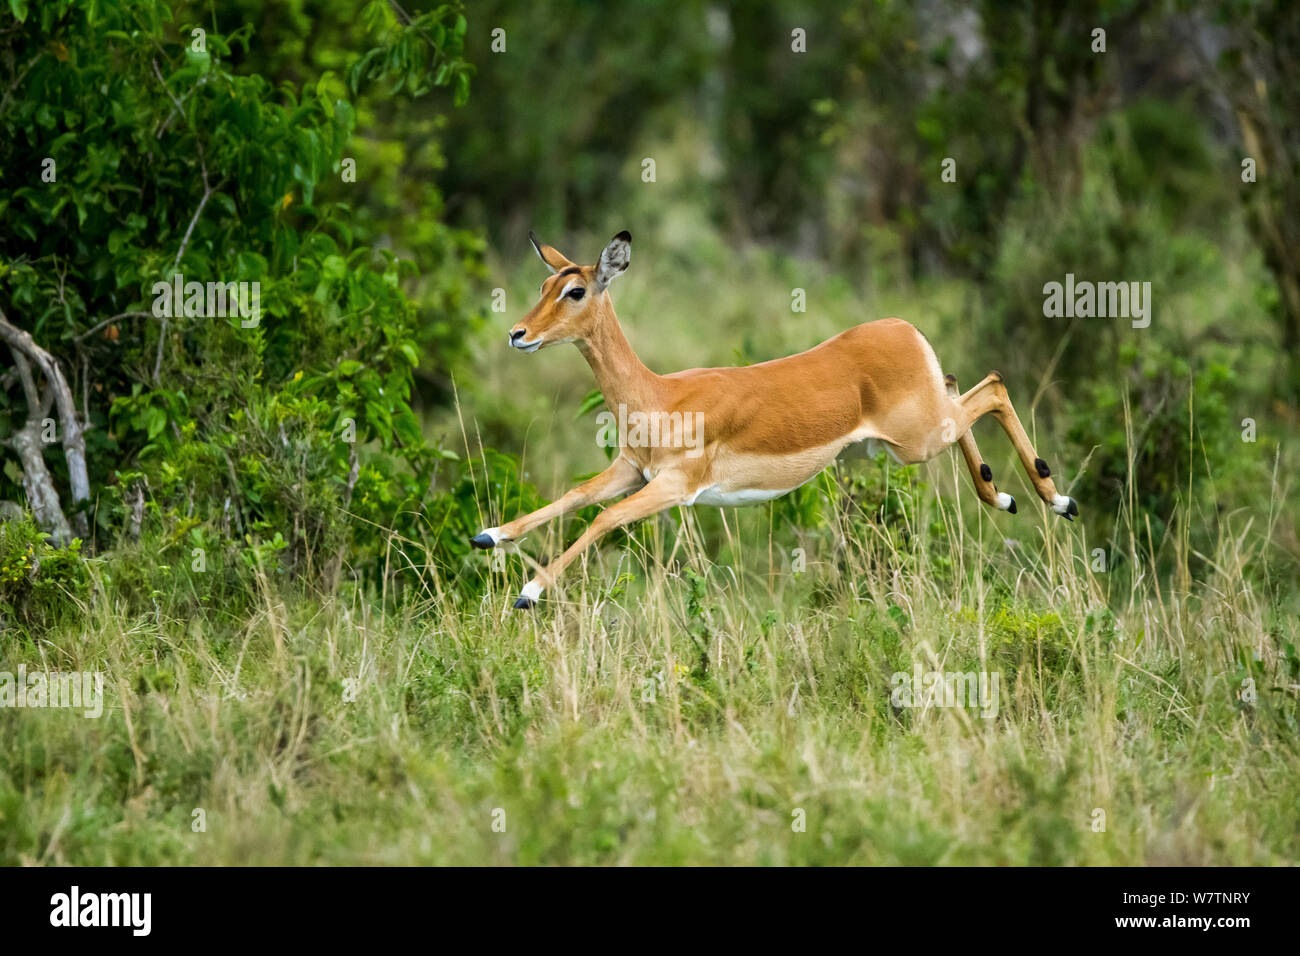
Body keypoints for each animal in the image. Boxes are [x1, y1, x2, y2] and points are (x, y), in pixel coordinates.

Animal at [471, 230, 1078, 609]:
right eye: (544, 285)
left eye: (575, 290)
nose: (517, 334)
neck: (660, 396)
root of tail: (905, 329)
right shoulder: (631, 470)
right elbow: (575, 496)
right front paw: (489, 534)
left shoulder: (674, 486)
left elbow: (604, 518)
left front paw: (529, 592)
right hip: (918, 431)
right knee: (965, 387)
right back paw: (1005, 495)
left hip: (918, 440)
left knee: (993, 386)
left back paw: (1056, 500)